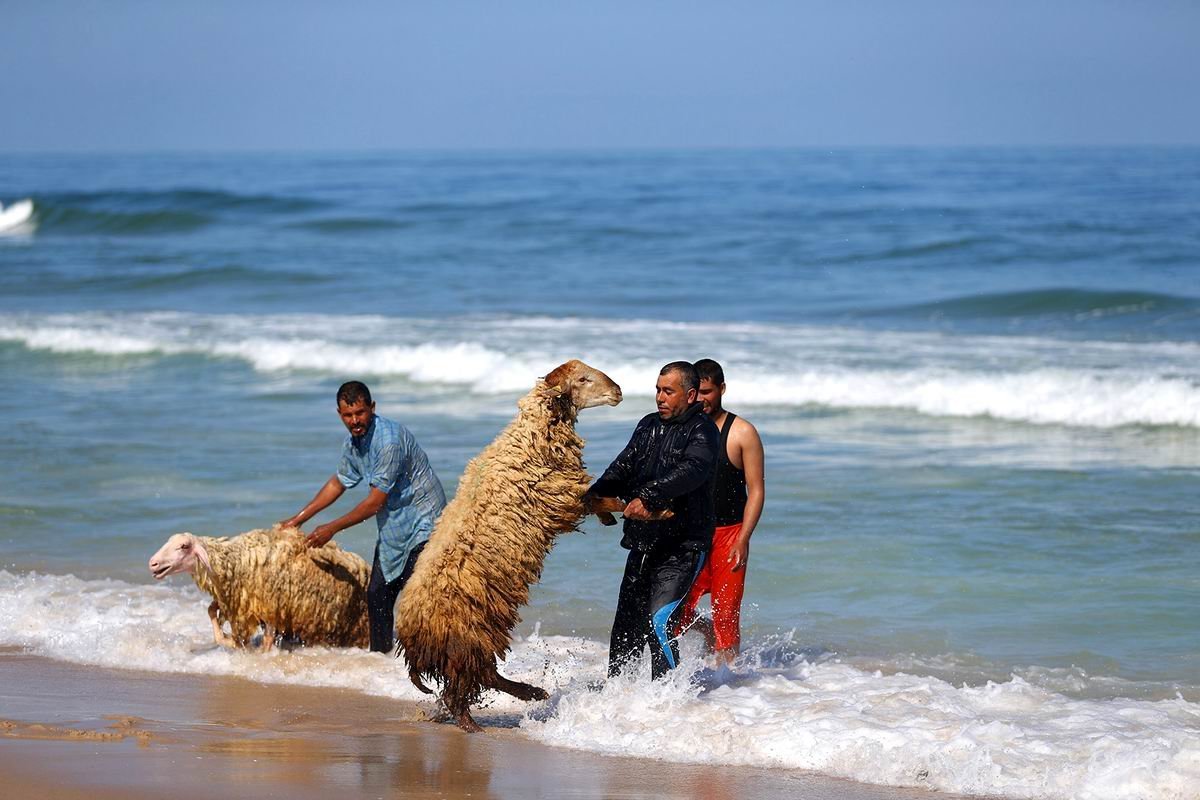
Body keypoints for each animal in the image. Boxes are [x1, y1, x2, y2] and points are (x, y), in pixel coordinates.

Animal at [147, 525, 369, 652]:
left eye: (184, 546)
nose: (152, 564)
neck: (238, 560)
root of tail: (363, 565)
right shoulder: (236, 599)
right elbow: (211, 611)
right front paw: (227, 639)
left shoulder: (272, 606)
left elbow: (268, 640)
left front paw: (257, 653)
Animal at [396, 362, 624, 734]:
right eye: (582, 379)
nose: (618, 391)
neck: (528, 437)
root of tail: (411, 637)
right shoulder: (559, 495)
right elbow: (600, 497)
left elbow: (597, 498)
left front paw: (609, 519)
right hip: (468, 638)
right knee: (466, 687)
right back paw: (477, 723)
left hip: (478, 634)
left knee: (481, 678)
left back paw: (532, 693)